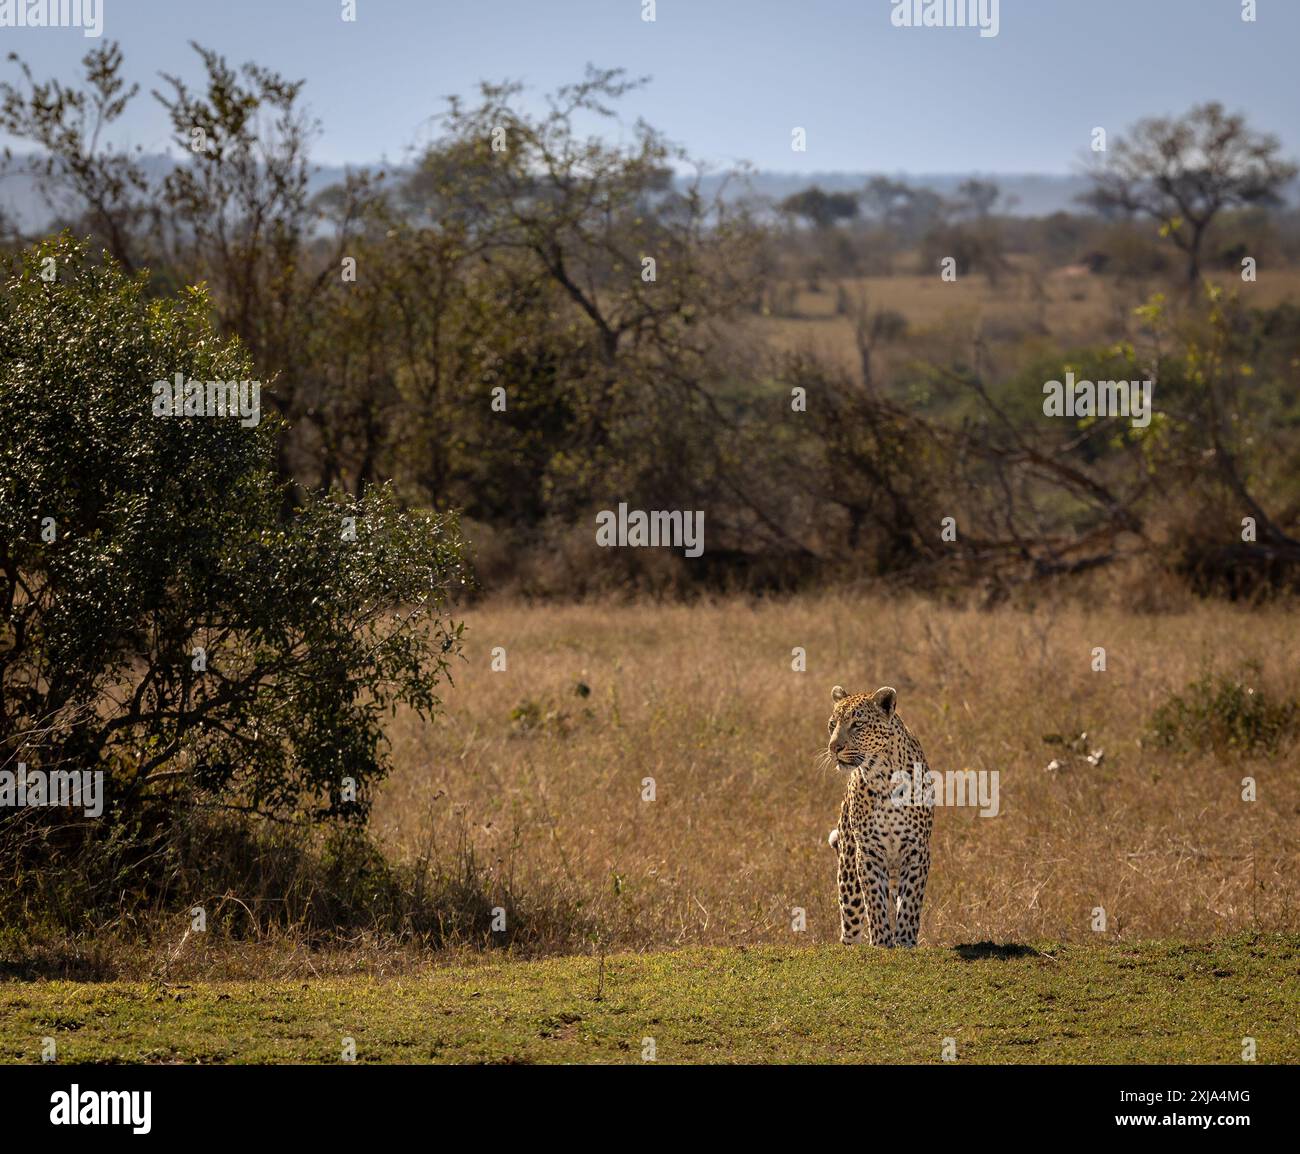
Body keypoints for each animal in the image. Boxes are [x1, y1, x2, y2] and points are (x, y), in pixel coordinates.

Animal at [822, 685, 933, 948]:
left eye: (857, 724)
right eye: (832, 724)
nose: (834, 748)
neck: (883, 777)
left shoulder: (917, 850)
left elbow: (910, 902)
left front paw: (905, 940)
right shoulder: (869, 852)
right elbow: (874, 901)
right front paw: (882, 942)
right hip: (848, 873)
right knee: (851, 922)